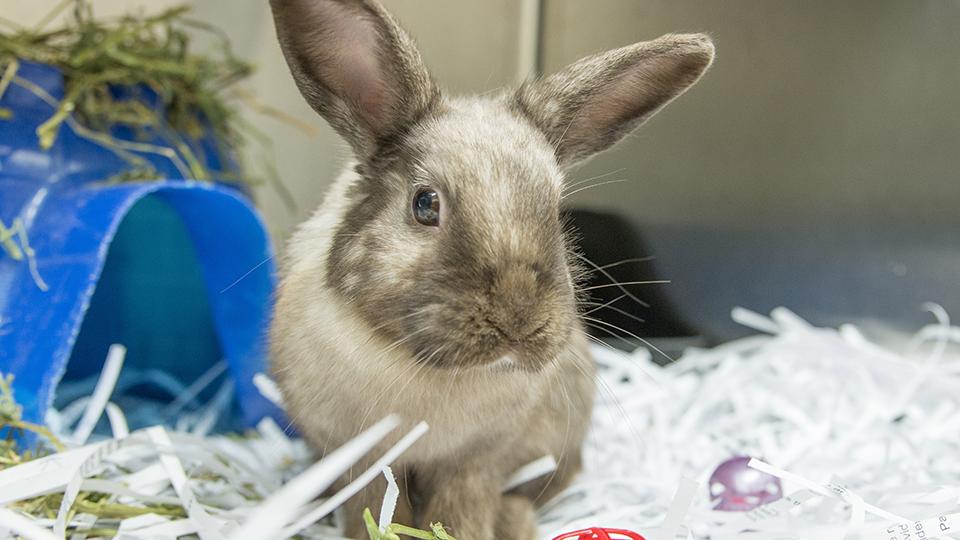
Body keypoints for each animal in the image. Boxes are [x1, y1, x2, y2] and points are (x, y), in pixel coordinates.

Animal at [267, 0, 714, 538]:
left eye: (556, 211)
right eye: (425, 204)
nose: (519, 320)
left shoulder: (476, 463)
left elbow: (461, 513)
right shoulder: (363, 462)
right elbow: (375, 514)